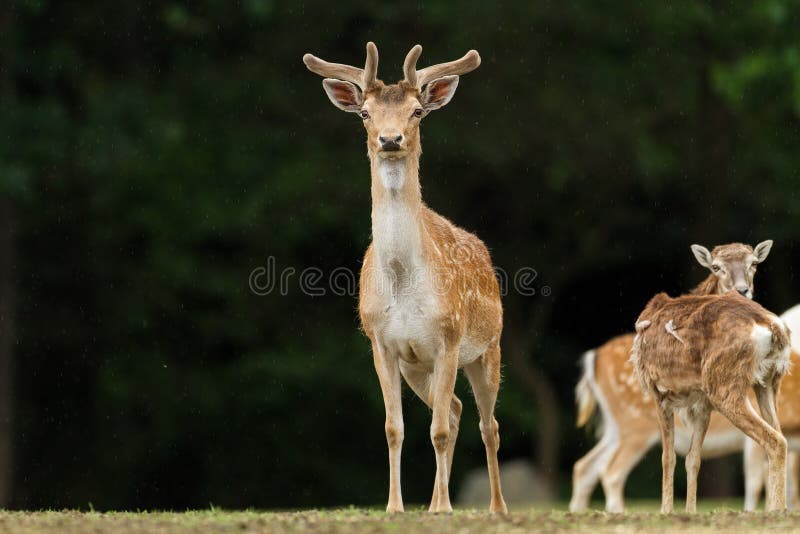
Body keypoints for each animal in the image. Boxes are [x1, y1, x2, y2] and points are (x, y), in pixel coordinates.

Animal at [303, 42, 507, 514]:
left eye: (417, 111)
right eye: (364, 112)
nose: (390, 139)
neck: (401, 280)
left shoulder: (449, 339)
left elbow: (438, 431)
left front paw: (446, 506)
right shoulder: (382, 343)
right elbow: (394, 427)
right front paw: (396, 506)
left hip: (488, 349)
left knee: (487, 425)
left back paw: (495, 507)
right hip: (420, 367)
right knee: (454, 408)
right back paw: (432, 503)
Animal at [631, 290, 791, 513]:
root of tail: (773, 325)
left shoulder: (659, 393)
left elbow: (668, 457)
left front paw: (666, 511)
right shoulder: (702, 405)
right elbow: (693, 459)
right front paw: (690, 512)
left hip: (724, 384)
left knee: (776, 441)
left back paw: (776, 511)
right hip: (769, 382)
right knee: (779, 433)